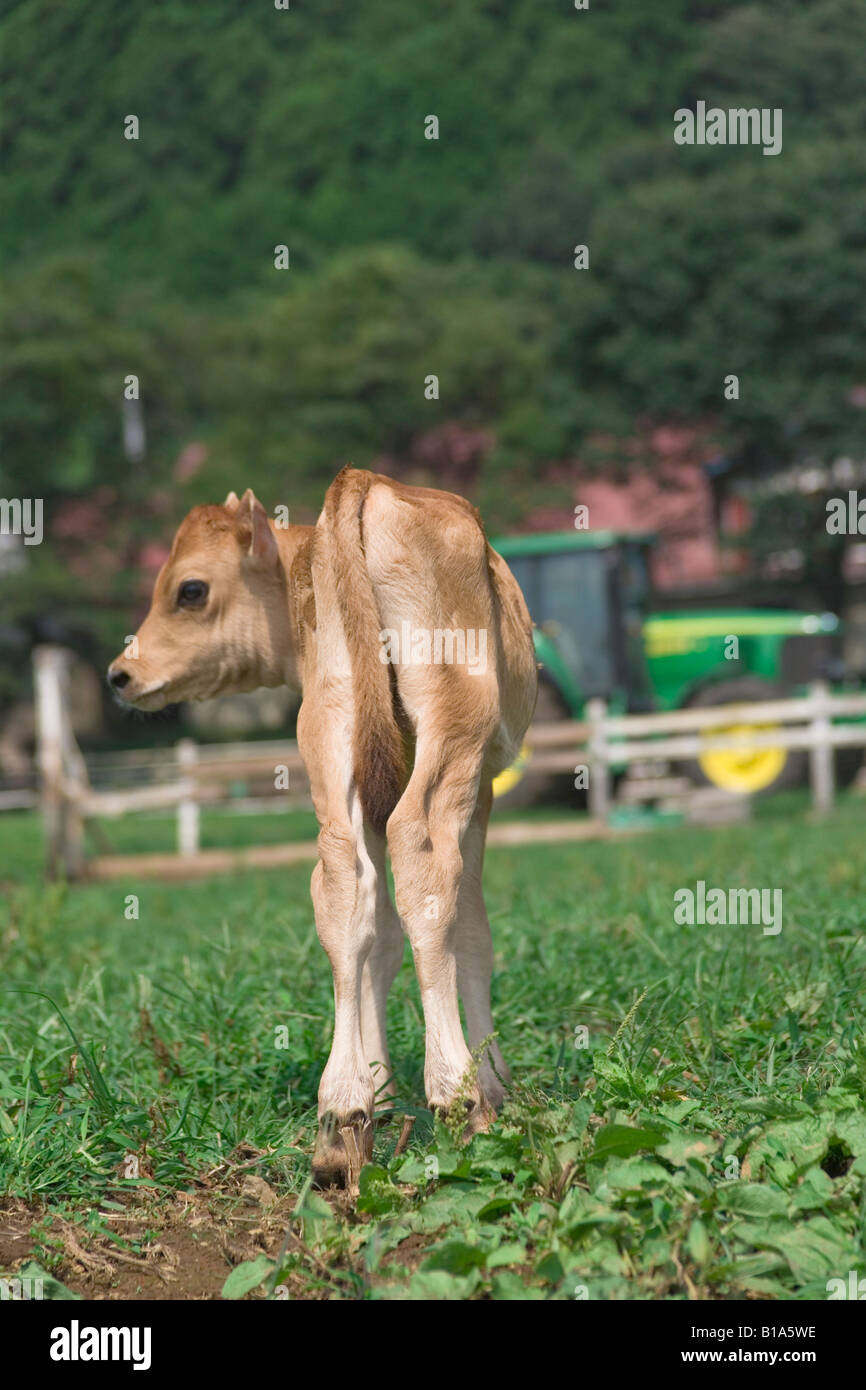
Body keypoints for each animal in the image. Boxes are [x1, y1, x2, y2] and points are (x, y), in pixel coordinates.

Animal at [108, 468, 537, 1188]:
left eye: (189, 589)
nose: (120, 674)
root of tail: (363, 484)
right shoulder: (479, 787)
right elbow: (470, 929)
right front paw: (494, 1083)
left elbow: (380, 938)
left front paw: (379, 1091)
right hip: (453, 729)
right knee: (422, 858)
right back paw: (458, 1098)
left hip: (331, 727)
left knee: (341, 884)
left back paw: (341, 1117)